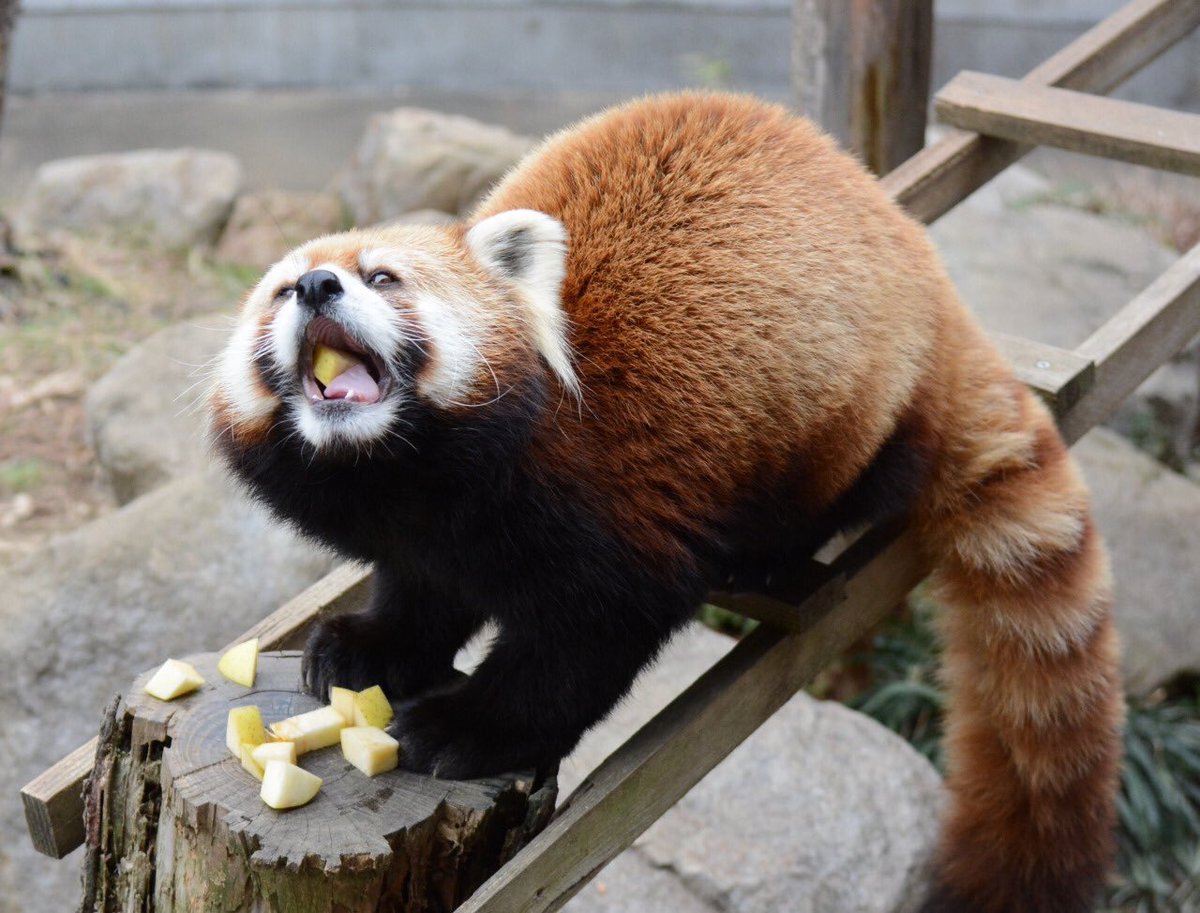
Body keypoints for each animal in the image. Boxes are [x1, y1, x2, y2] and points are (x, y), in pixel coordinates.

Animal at [210, 92, 1123, 913]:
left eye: (382, 277)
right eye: (281, 291)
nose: (318, 286)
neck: (406, 474)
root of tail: (928, 275)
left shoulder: (607, 494)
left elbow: (586, 638)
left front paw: (468, 725)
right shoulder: (423, 534)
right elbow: (423, 592)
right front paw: (371, 648)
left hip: (850, 411)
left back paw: (773, 552)